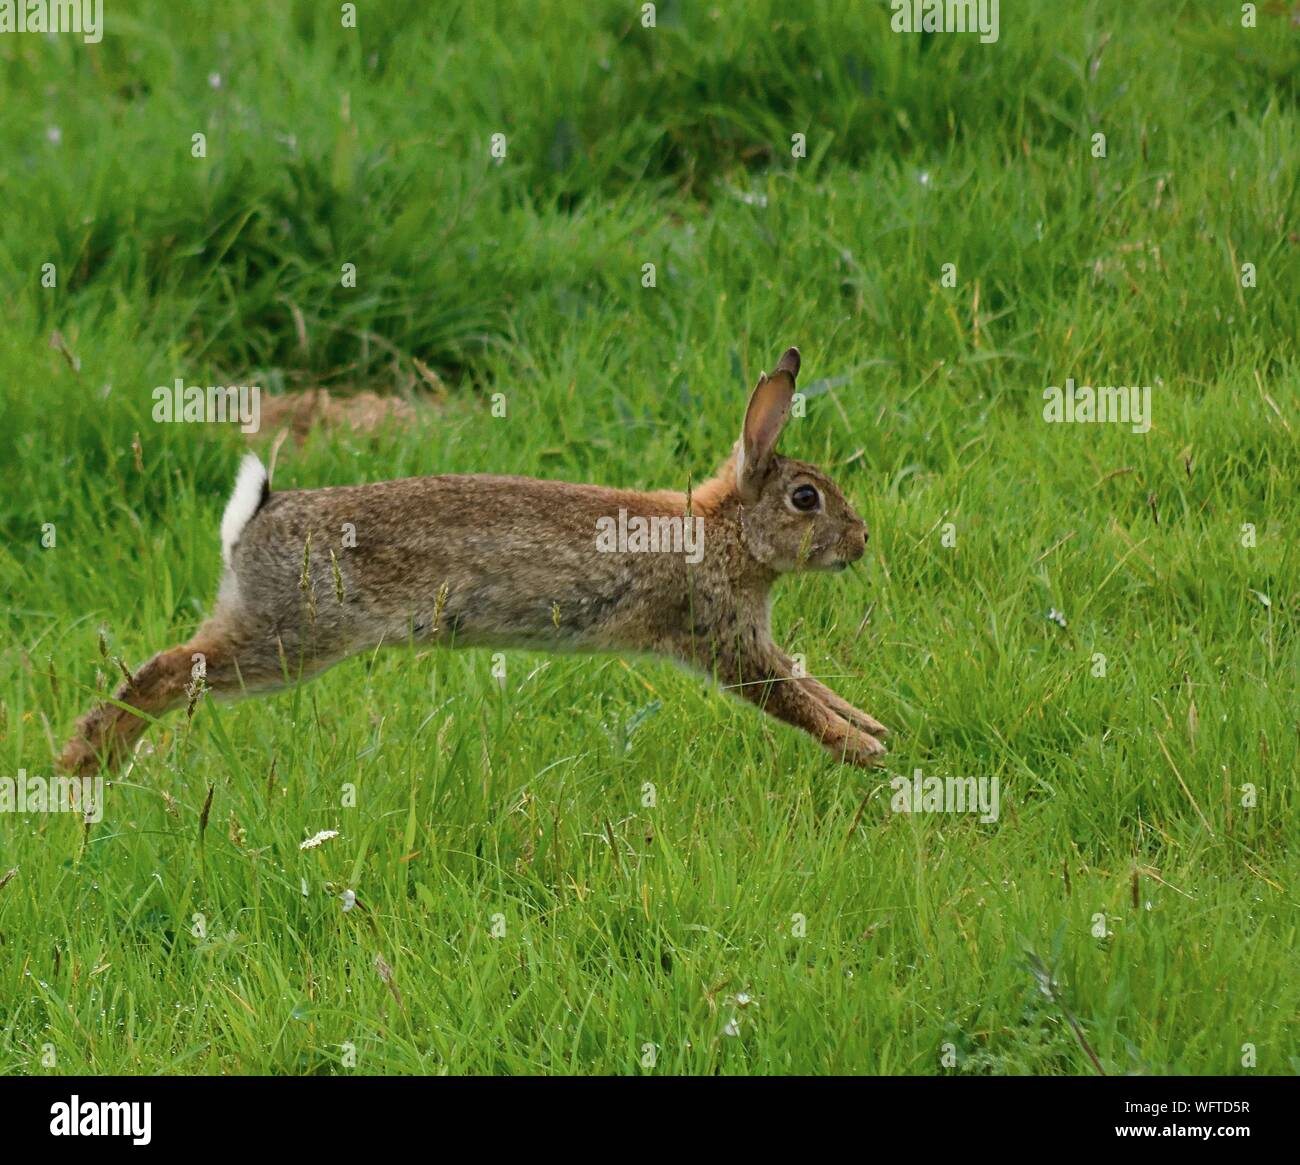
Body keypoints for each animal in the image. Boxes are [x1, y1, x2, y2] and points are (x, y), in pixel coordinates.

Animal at [59, 346, 889, 778]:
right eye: (806, 498)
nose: (861, 540)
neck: (724, 530)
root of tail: (257, 515)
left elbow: (811, 681)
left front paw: (875, 723)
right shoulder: (722, 637)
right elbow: (790, 699)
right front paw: (866, 751)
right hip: (288, 636)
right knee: (167, 669)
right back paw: (86, 760)